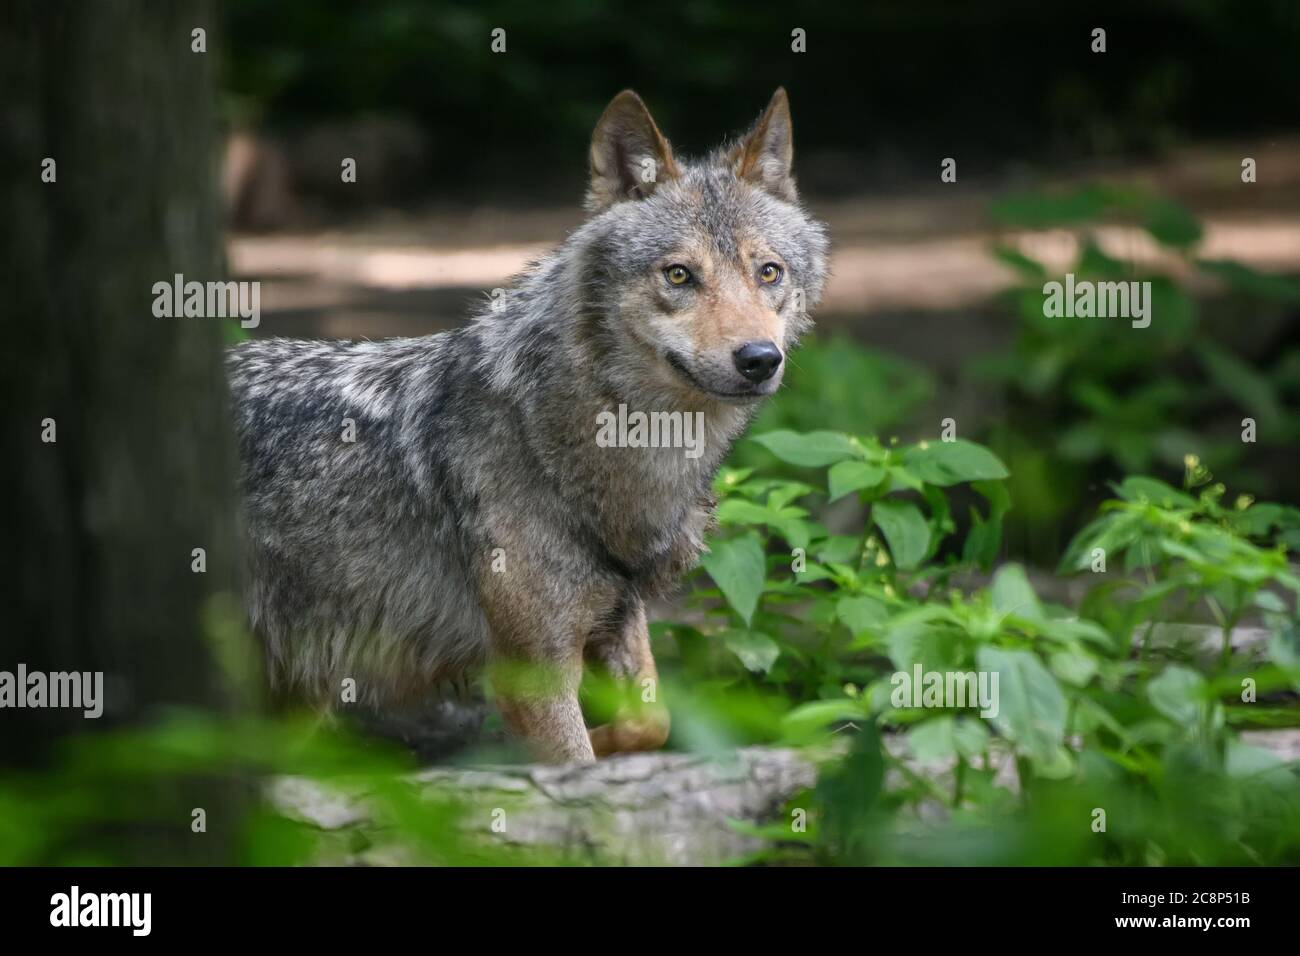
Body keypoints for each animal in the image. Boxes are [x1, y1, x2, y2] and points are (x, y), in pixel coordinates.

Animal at [226, 89, 829, 763]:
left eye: (769, 272)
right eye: (679, 275)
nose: (759, 359)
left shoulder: (615, 613)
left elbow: (651, 722)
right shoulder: (532, 671)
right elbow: (575, 761)